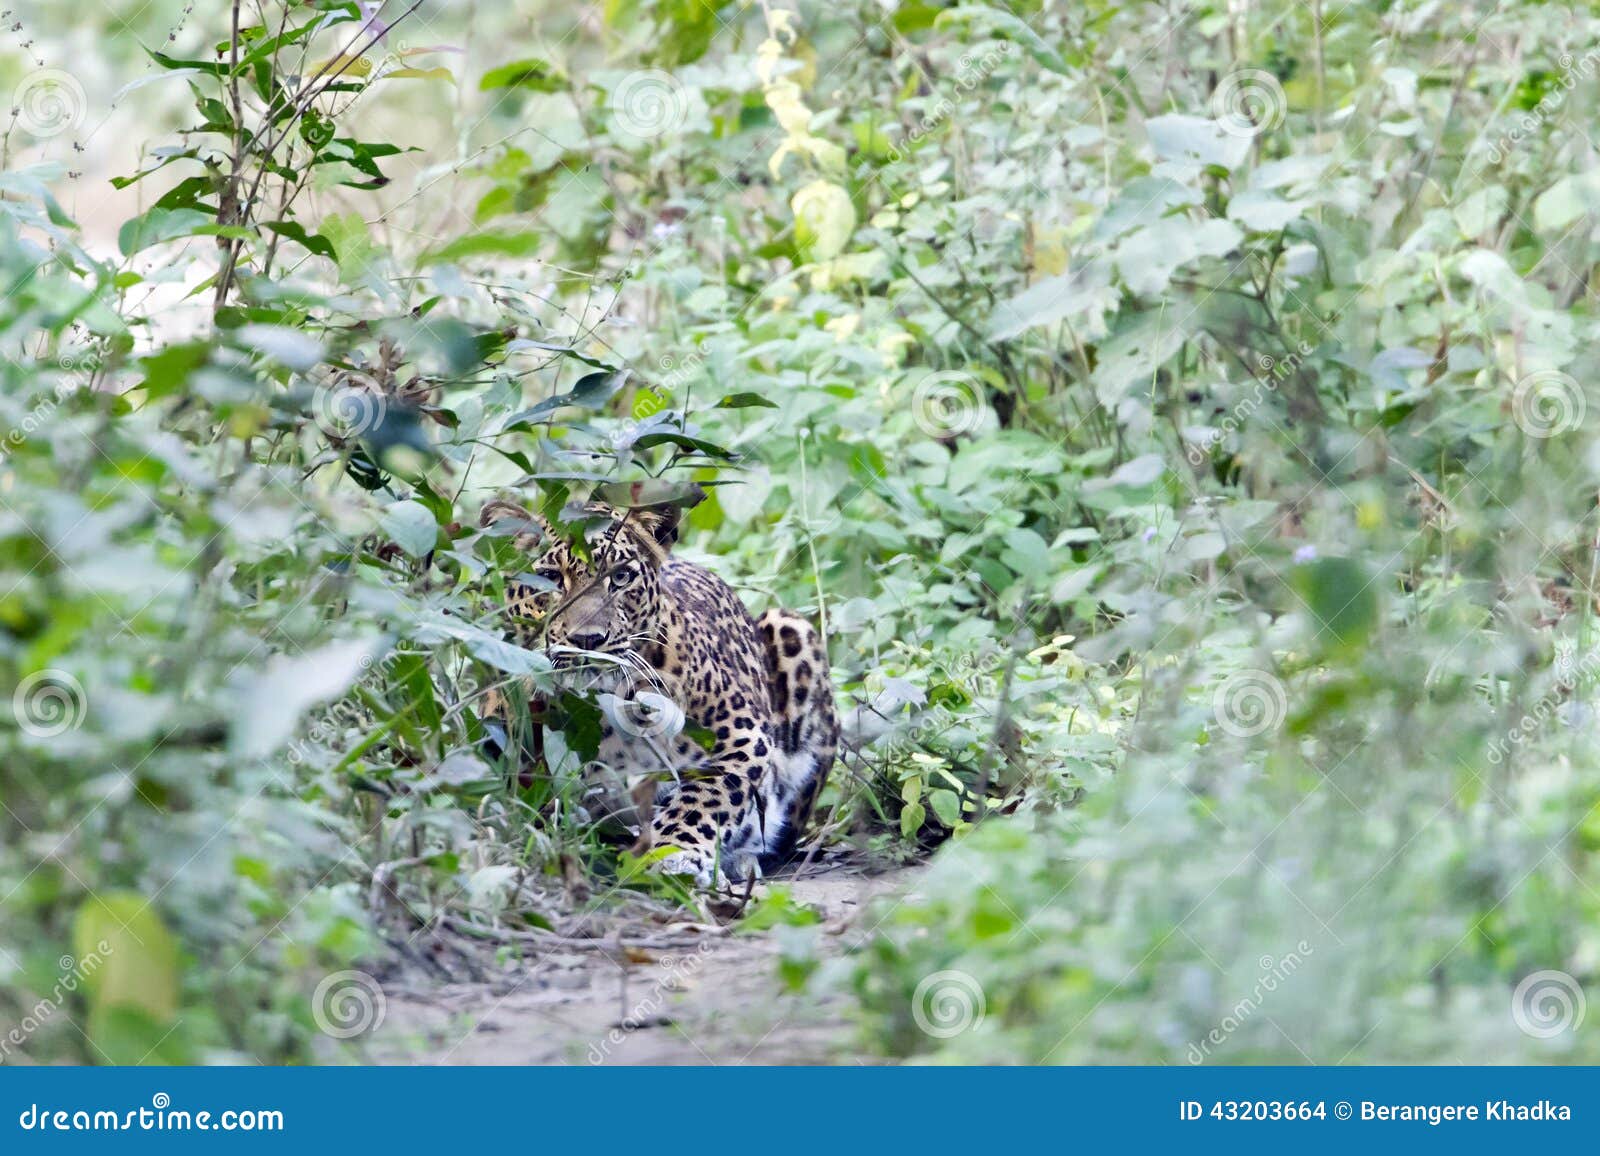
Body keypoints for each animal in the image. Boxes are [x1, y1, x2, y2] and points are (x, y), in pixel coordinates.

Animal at [477, 496, 838, 889]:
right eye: (550, 578)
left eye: (620, 576)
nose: (588, 640)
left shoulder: (742, 733)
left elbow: (707, 796)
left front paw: (673, 854)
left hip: (793, 628)